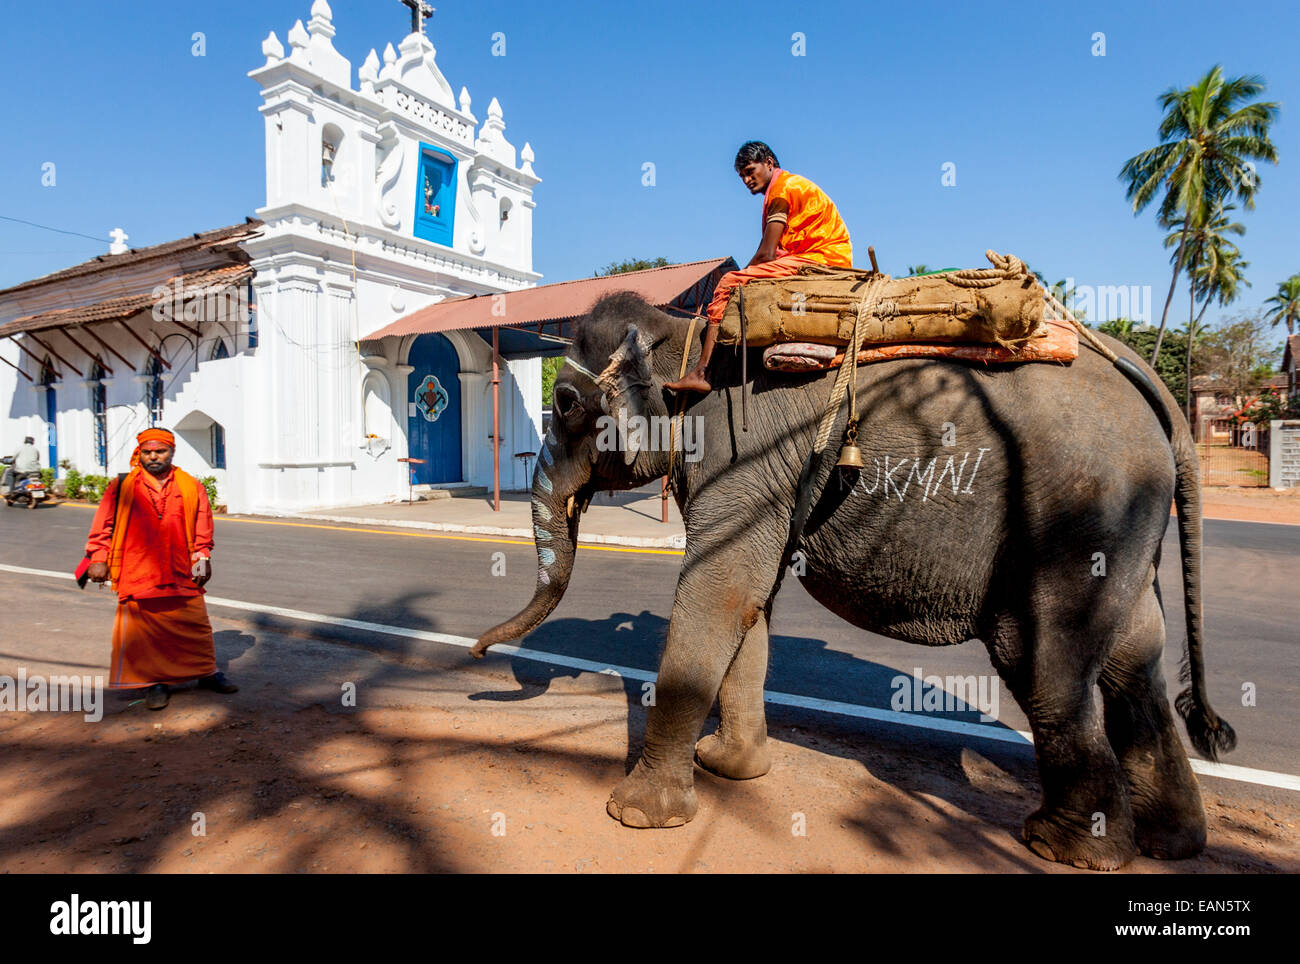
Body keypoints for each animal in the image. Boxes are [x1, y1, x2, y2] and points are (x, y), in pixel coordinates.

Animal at [473, 291, 1236, 871]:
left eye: (565, 402)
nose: (478, 654)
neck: (681, 331)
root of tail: (1149, 386)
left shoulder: (740, 455)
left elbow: (718, 592)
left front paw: (636, 815)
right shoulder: (765, 477)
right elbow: (752, 603)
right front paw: (730, 768)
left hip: (1079, 516)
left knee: (1044, 661)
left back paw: (1065, 846)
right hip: (1126, 524)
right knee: (1136, 659)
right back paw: (1171, 842)